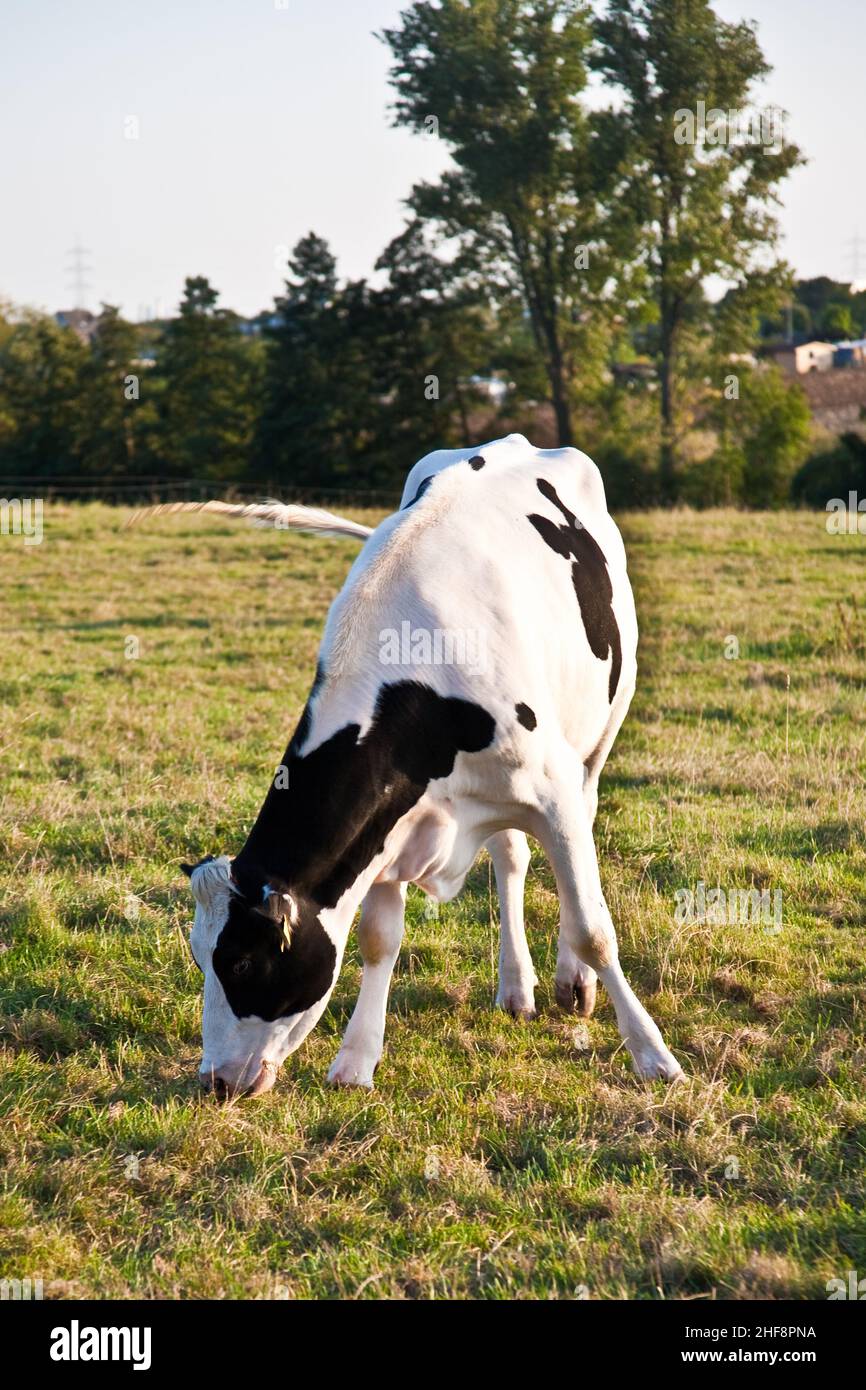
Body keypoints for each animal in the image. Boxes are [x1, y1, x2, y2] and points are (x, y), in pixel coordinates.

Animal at [136, 433, 683, 1097]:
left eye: (241, 961)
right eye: (199, 957)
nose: (214, 1082)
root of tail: (518, 440)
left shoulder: (553, 795)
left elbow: (593, 928)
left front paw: (652, 1054)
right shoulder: (387, 826)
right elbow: (378, 939)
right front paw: (355, 1061)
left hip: (597, 742)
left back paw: (571, 983)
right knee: (510, 859)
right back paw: (515, 986)